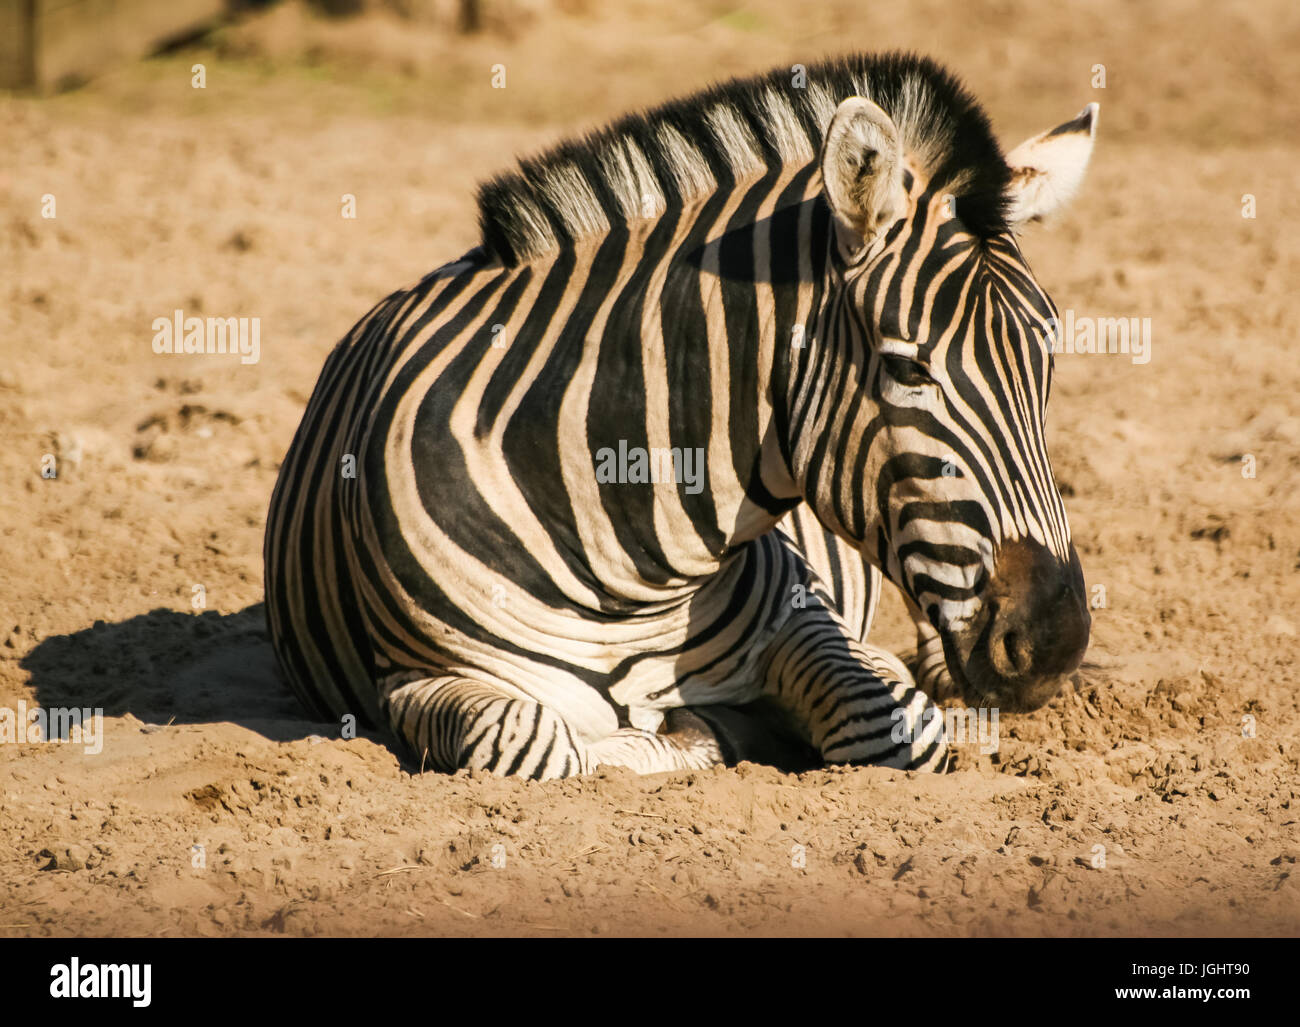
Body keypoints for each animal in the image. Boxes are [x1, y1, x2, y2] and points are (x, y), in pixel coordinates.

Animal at [264, 53, 1096, 780]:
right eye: (906, 369)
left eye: (1049, 364)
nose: (1056, 641)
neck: (623, 556)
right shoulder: (414, 675)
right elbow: (536, 742)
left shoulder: (802, 619)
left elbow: (895, 724)